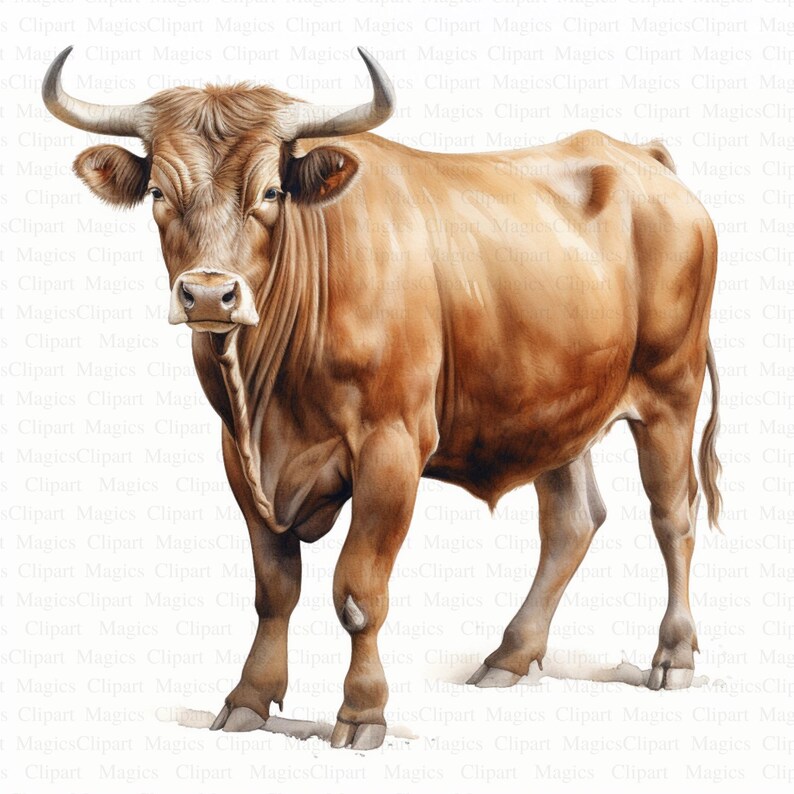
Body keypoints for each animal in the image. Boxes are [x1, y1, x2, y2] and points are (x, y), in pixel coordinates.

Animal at [43, 46, 721, 750]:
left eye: (271, 192)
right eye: (157, 192)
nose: (208, 294)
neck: (268, 399)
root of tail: (638, 156)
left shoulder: (391, 446)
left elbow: (358, 590)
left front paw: (362, 711)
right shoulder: (237, 452)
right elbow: (273, 589)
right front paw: (249, 699)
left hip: (671, 393)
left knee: (673, 515)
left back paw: (672, 655)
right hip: (556, 409)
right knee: (572, 521)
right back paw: (509, 657)